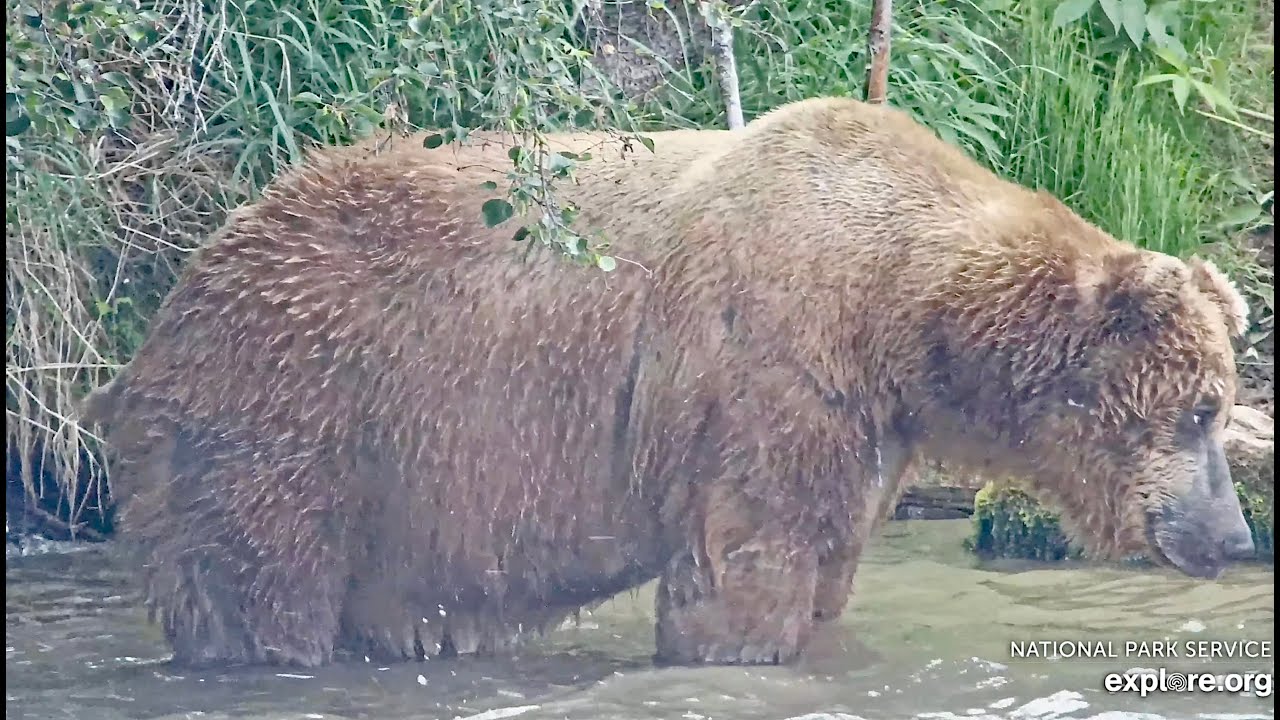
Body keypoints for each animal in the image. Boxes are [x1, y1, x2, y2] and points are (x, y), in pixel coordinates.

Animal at [82, 96, 1258, 669]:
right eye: (1200, 408)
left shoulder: (863, 424)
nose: (1234, 536)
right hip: (286, 419)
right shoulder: (768, 367)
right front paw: (734, 643)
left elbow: (825, 564)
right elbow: (742, 571)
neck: (898, 306)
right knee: (258, 591)